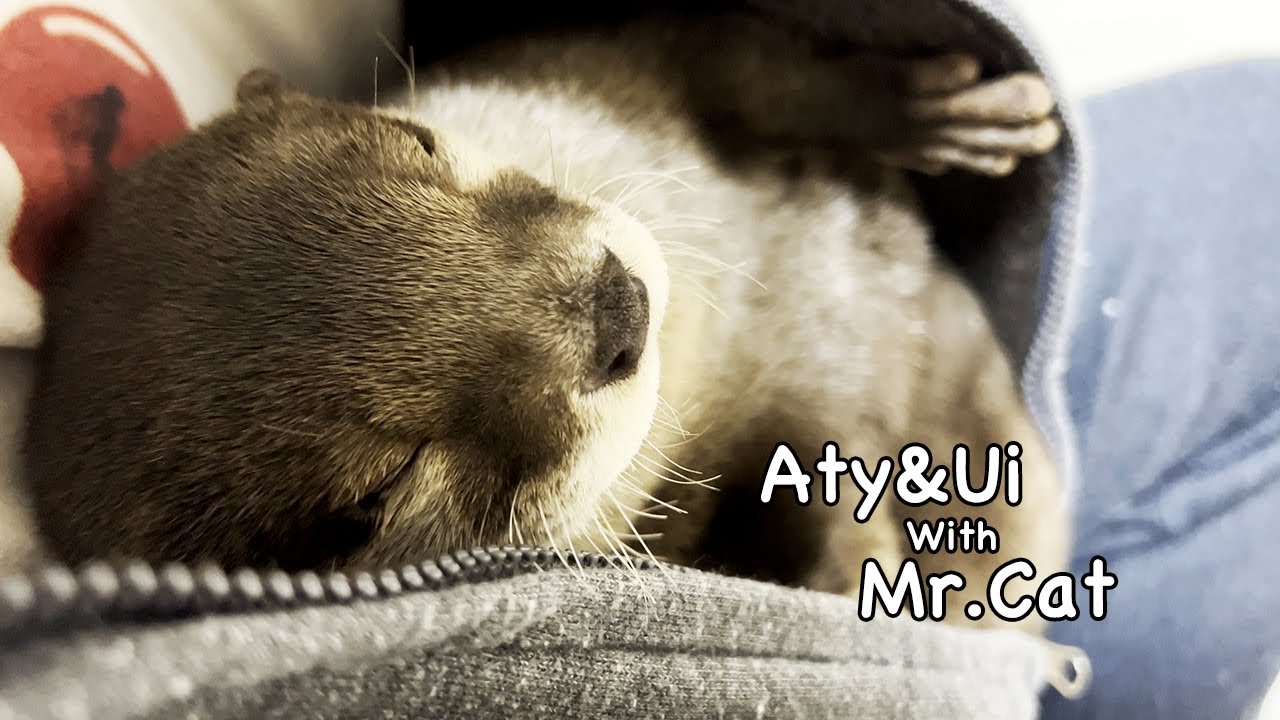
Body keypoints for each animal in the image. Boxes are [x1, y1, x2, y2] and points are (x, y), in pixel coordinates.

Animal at [22, 11, 1068, 627]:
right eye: (381, 491)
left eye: (421, 142)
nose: (618, 307)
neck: (728, 324)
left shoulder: (606, 59)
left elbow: (750, 63)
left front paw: (946, 114)